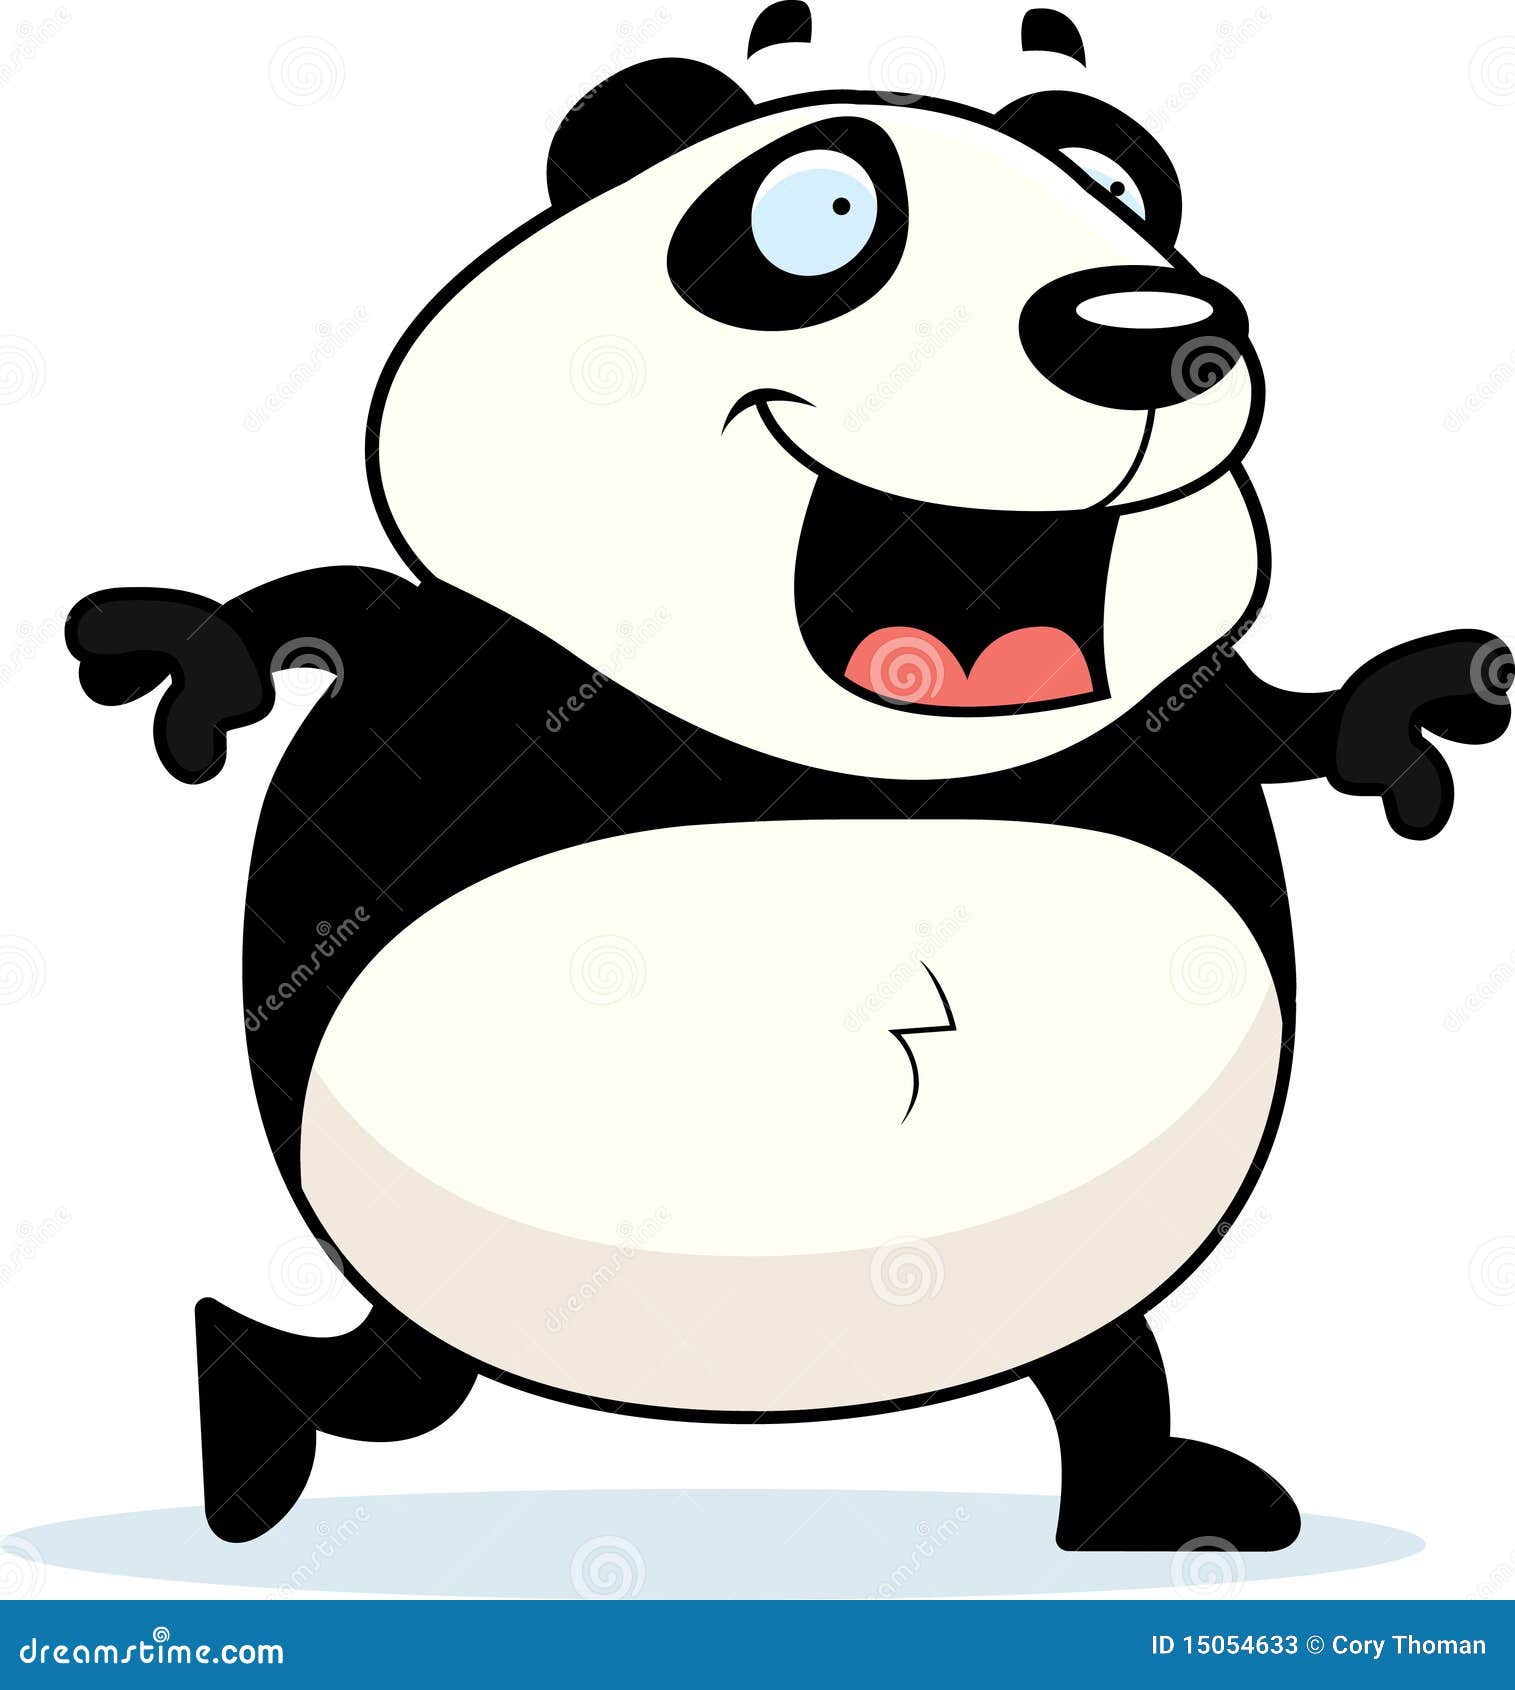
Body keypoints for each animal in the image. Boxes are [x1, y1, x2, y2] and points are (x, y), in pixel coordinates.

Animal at [67, 3, 1511, 1552]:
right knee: (386, 1375)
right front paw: (190, 663)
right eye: (822, 211)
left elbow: (1269, 722)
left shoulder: (1171, 737)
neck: (858, 764)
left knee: (1102, 1365)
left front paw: (1414, 711)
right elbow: (342, 616)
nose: (1154, 330)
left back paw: (1154, 1501)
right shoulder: (460, 684)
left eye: (1116, 184)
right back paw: (250, 1437)